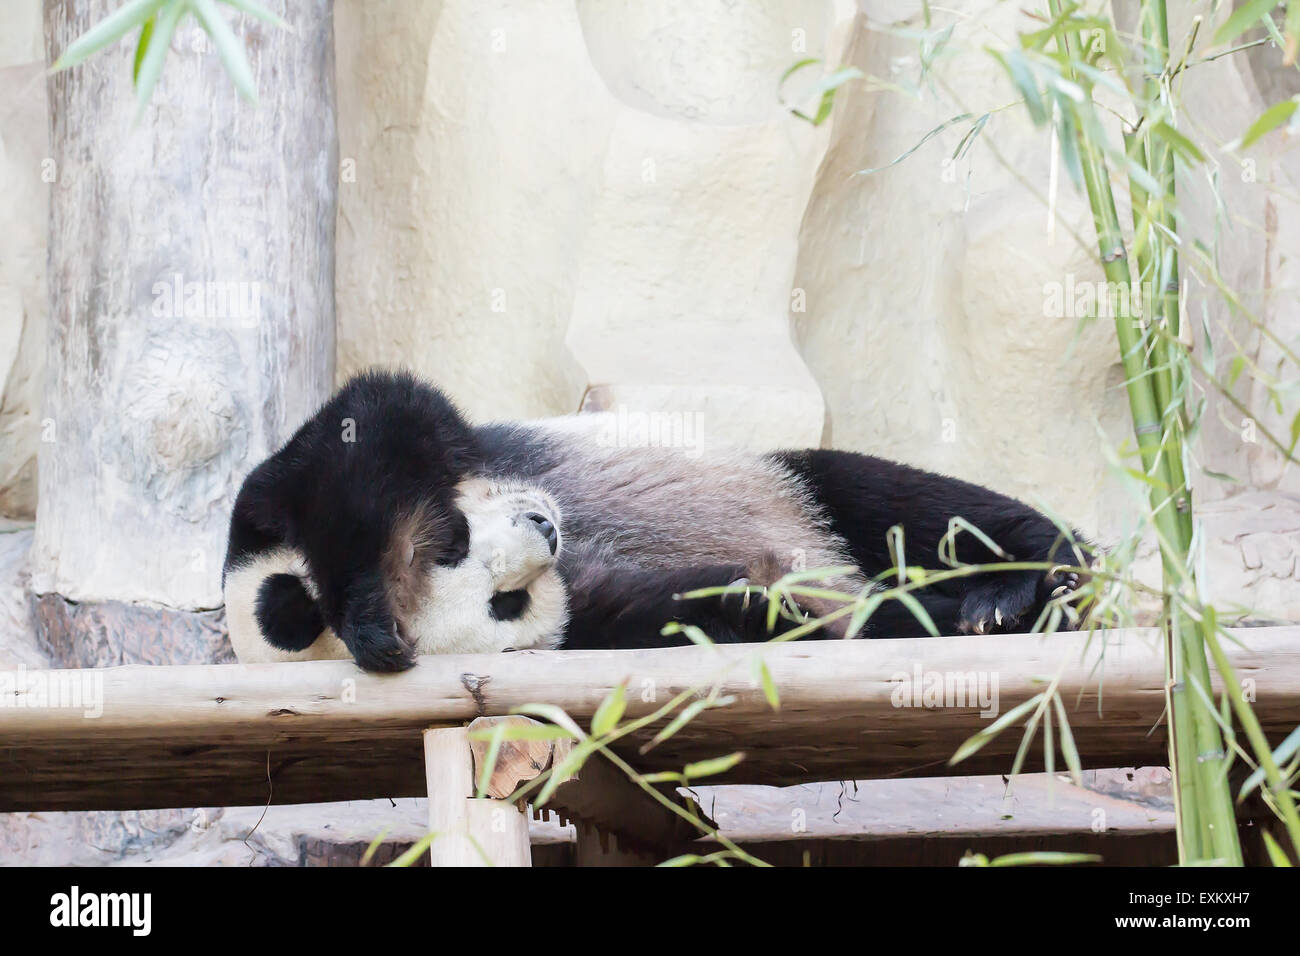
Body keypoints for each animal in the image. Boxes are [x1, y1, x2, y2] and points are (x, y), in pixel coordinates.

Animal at [223, 370, 1090, 671]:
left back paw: (1023, 587)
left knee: (911, 507)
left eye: (454, 538)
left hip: (791, 482)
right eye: (504, 604)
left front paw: (367, 605)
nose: (546, 529)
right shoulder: (590, 618)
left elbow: (377, 417)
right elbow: (691, 613)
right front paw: (752, 597)